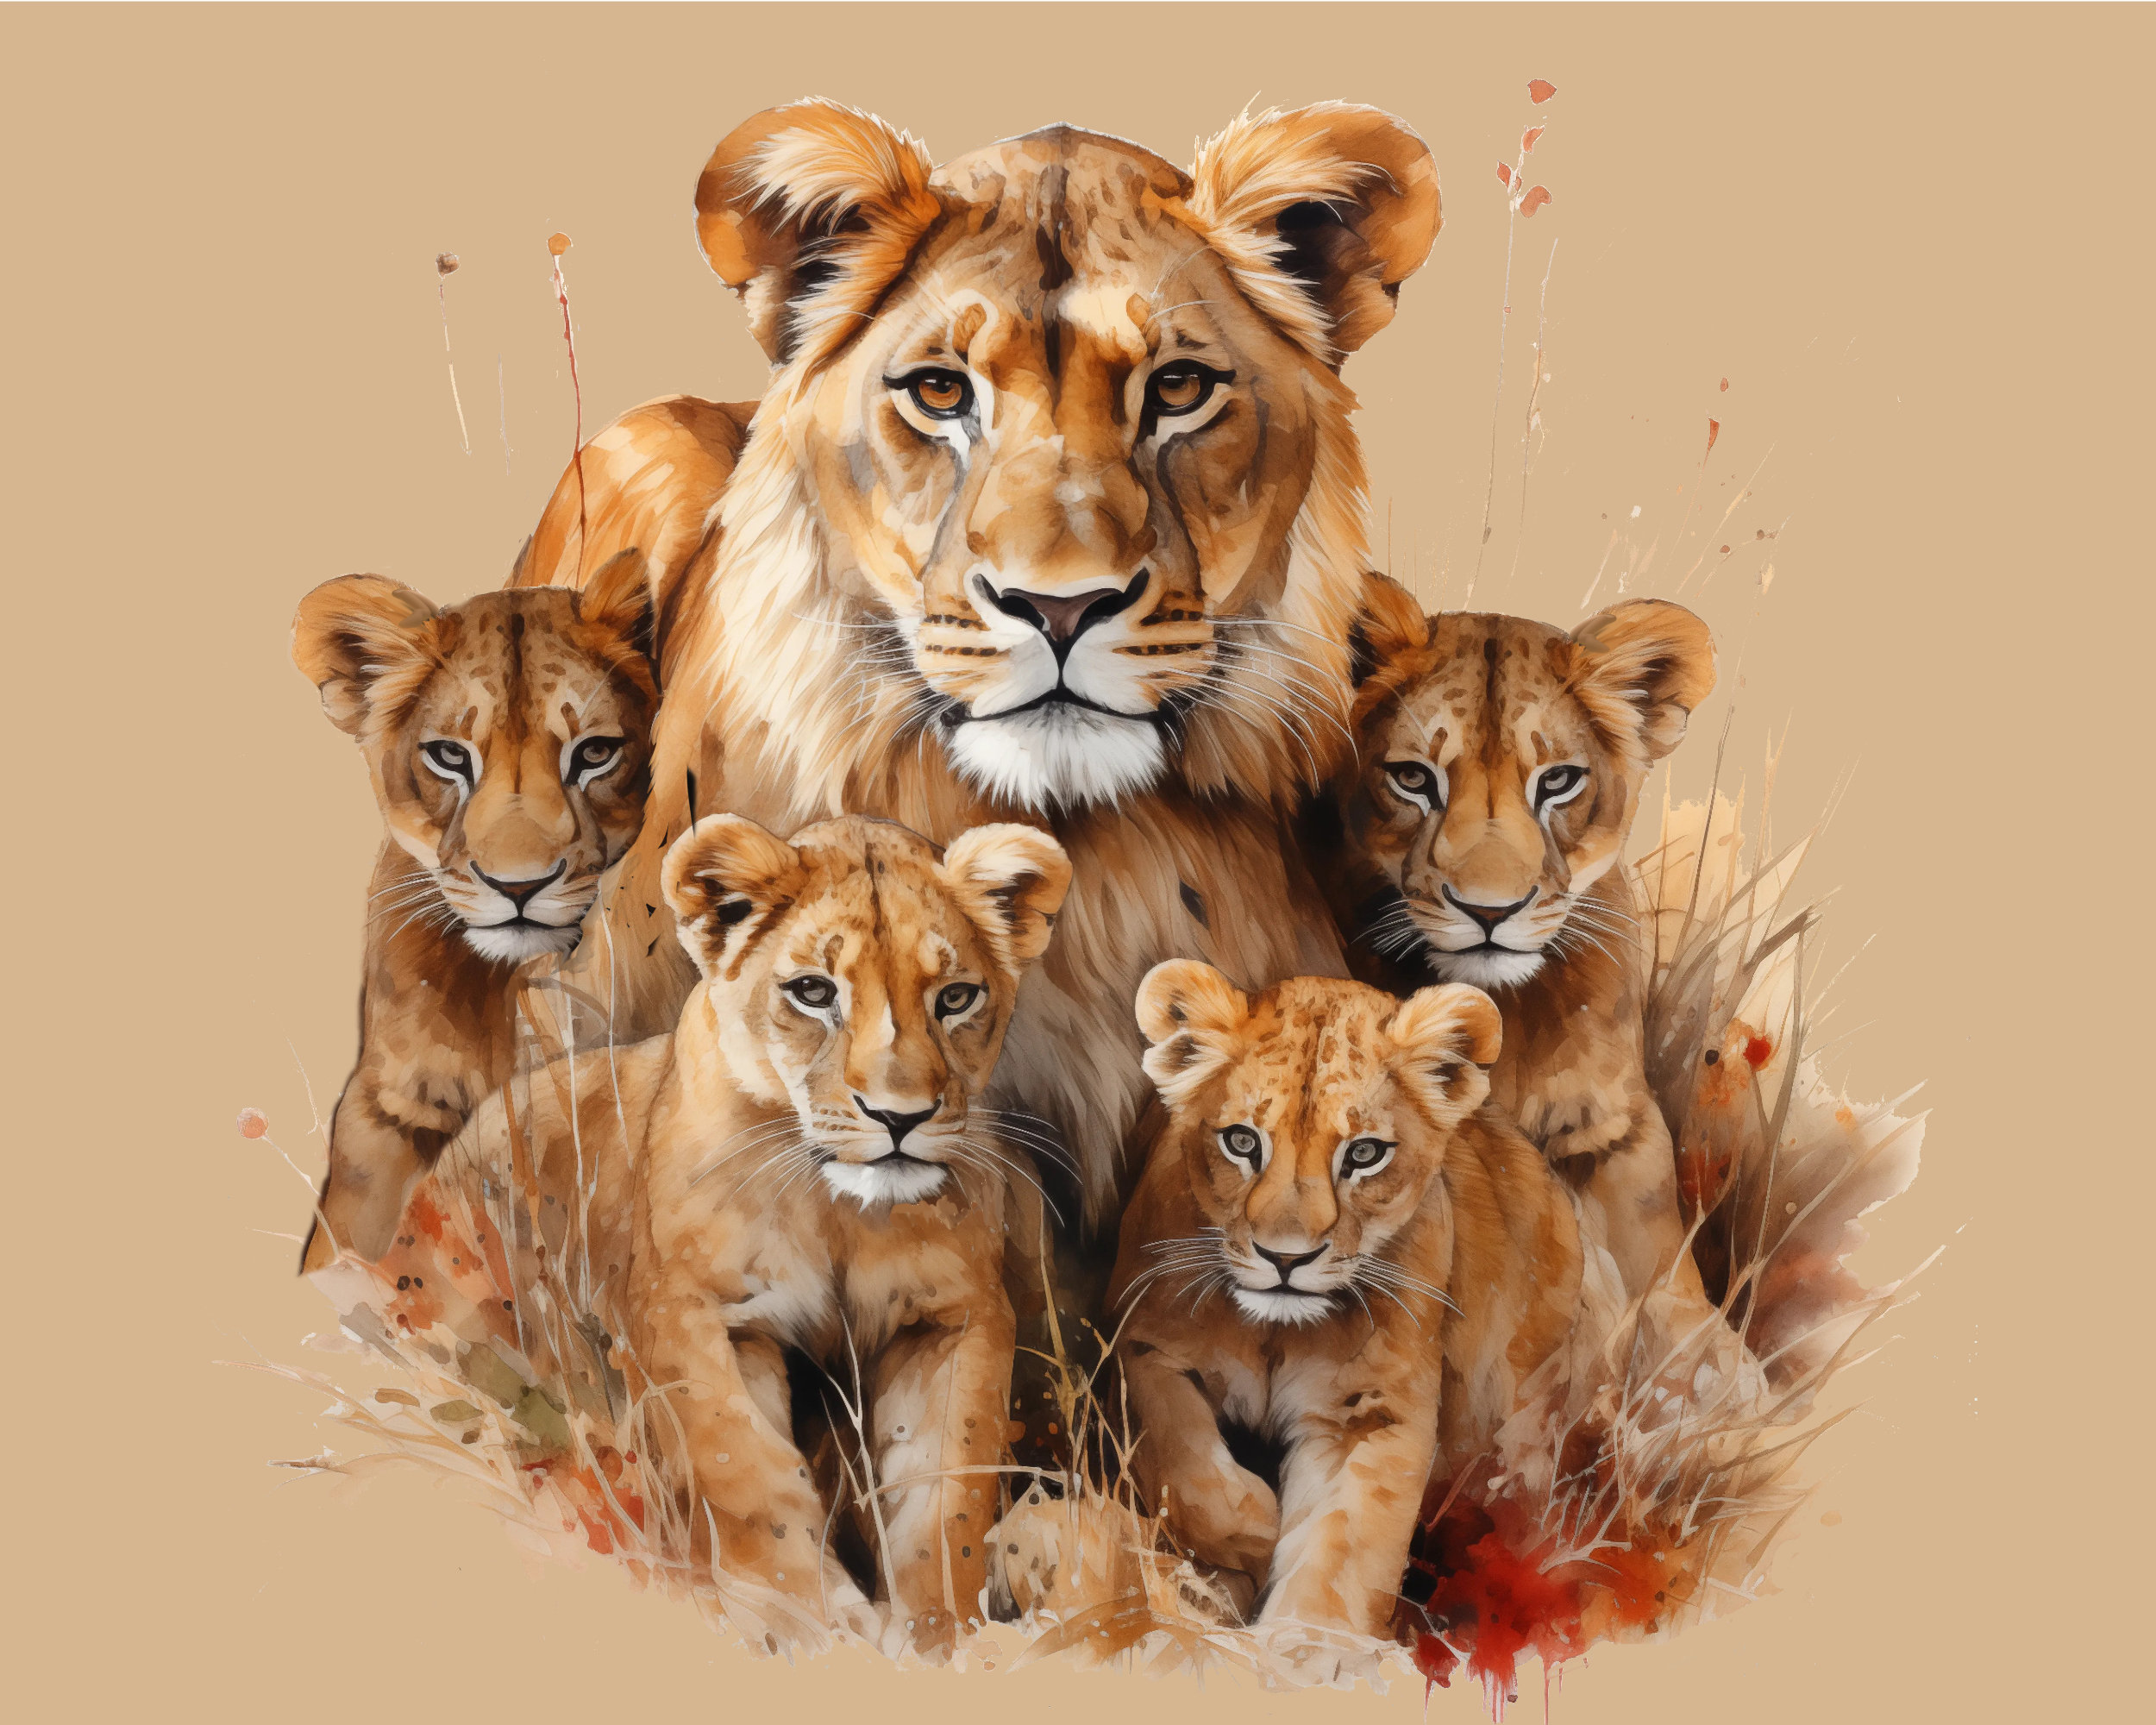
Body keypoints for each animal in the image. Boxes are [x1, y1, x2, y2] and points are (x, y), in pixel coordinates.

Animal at [289, 553, 655, 1267]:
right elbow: (347, 1236)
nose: (517, 887)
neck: (496, 987)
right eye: (450, 756)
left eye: (595, 753)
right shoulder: (390, 1100)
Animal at [371, 813, 1071, 1653]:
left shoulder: (952, 1319)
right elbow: (747, 1474)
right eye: (814, 992)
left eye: (956, 997)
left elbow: (946, 1497)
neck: (837, 1211)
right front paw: (809, 1627)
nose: (899, 1118)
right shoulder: (694, 1311)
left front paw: (939, 1640)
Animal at [1105, 964, 1582, 1637]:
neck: (1275, 1333)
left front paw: (1310, 1643)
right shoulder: (1141, 1344)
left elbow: (1346, 1545)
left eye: (1363, 1153)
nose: (1285, 1259)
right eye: (1241, 1142)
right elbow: (1183, 1458)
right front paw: (1258, 1536)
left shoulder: (1371, 1410)